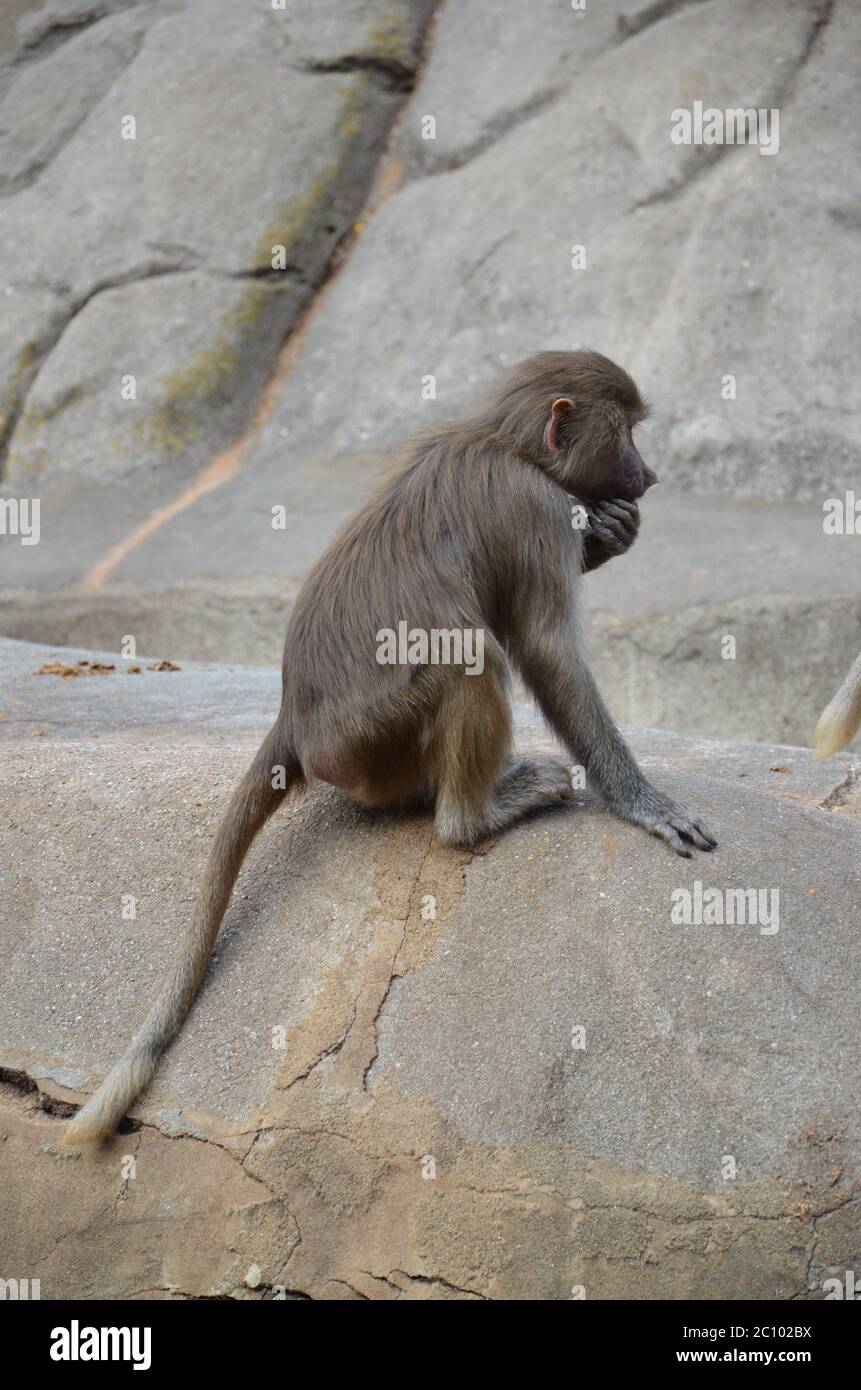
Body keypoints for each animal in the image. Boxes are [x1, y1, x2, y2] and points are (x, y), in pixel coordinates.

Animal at [64, 349, 716, 1146]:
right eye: (626, 431)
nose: (647, 477)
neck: (504, 442)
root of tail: (295, 717)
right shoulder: (533, 507)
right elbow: (545, 649)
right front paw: (642, 801)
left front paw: (612, 532)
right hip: (376, 739)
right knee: (470, 656)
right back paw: (477, 814)